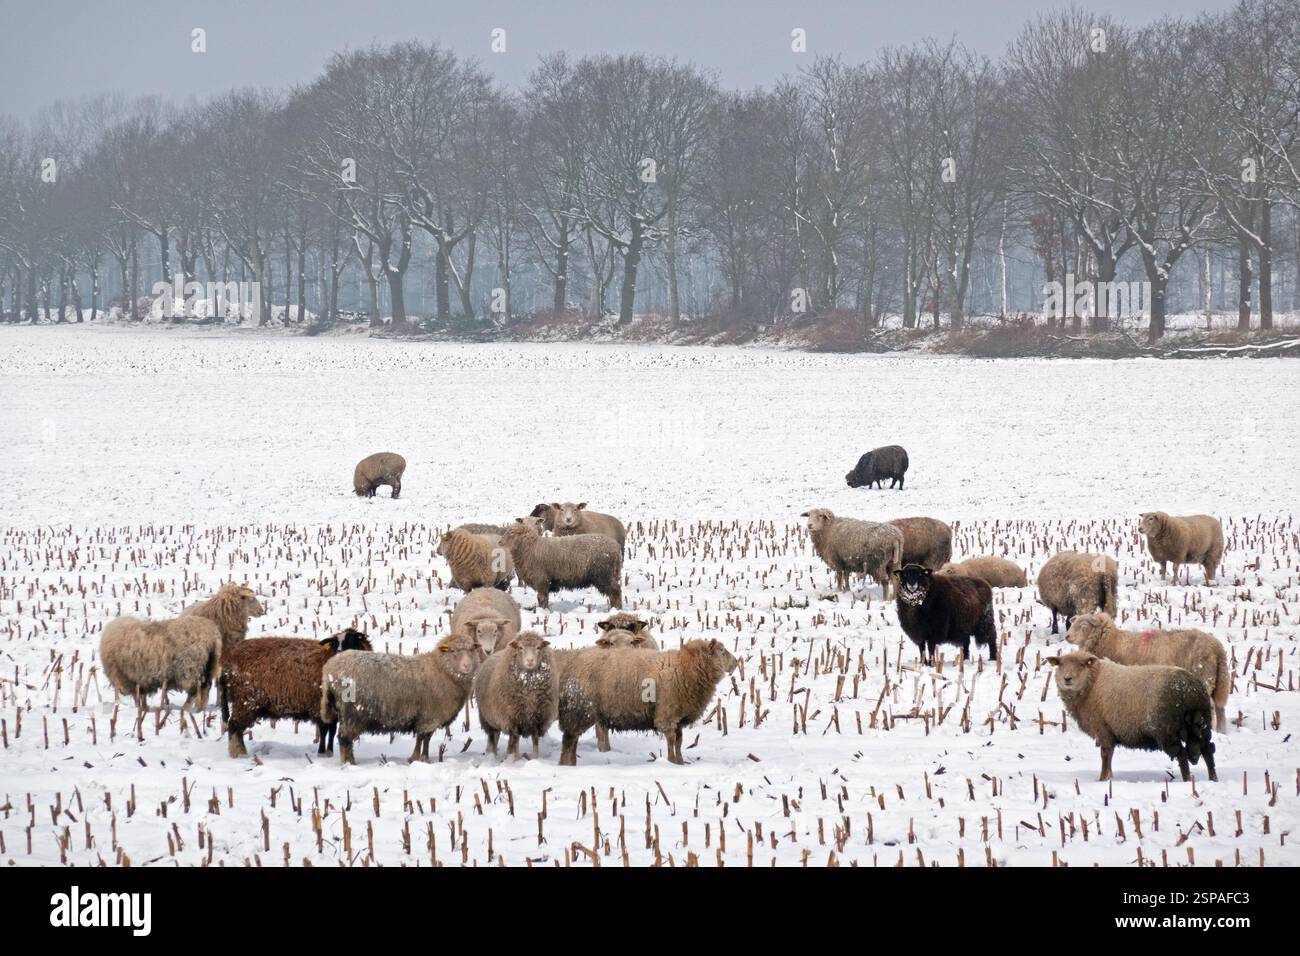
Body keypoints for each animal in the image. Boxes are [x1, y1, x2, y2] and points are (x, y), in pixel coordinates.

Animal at [223, 628, 373, 758]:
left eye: (352, 642)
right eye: (335, 644)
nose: (339, 656)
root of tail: (229, 658)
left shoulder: (335, 710)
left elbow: (332, 730)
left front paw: (330, 752)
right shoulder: (319, 705)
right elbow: (324, 730)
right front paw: (322, 753)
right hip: (245, 701)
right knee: (233, 726)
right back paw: (238, 753)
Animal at [321, 633, 485, 765]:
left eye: (472, 650)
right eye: (453, 651)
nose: (467, 666)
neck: (441, 669)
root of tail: (329, 669)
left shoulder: (425, 716)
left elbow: (422, 738)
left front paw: (416, 758)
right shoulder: (430, 716)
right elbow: (424, 738)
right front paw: (422, 759)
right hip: (352, 712)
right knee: (344, 738)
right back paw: (348, 762)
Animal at [556, 639, 738, 766]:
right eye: (722, 651)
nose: (736, 662)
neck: (686, 667)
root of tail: (570, 665)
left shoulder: (678, 717)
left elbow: (679, 742)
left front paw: (680, 761)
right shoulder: (667, 715)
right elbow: (671, 740)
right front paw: (672, 762)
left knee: (571, 740)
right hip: (579, 710)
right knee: (569, 740)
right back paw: (567, 764)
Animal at [1048, 651, 1217, 782]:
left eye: (1082, 665)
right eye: (1060, 664)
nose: (1067, 679)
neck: (1092, 683)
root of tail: (1192, 691)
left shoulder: (1102, 728)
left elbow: (1105, 754)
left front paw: (1102, 779)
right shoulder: (1110, 731)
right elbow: (1110, 755)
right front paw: (1109, 777)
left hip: (1167, 731)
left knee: (1182, 754)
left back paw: (1187, 780)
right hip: (1203, 723)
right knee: (1207, 749)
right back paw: (1213, 779)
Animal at [1066, 611, 1230, 732]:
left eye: (1083, 625)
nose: (1067, 636)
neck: (1112, 641)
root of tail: (1217, 646)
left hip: (1204, 675)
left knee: (1212, 705)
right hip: (1217, 681)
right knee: (1220, 707)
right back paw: (1221, 731)